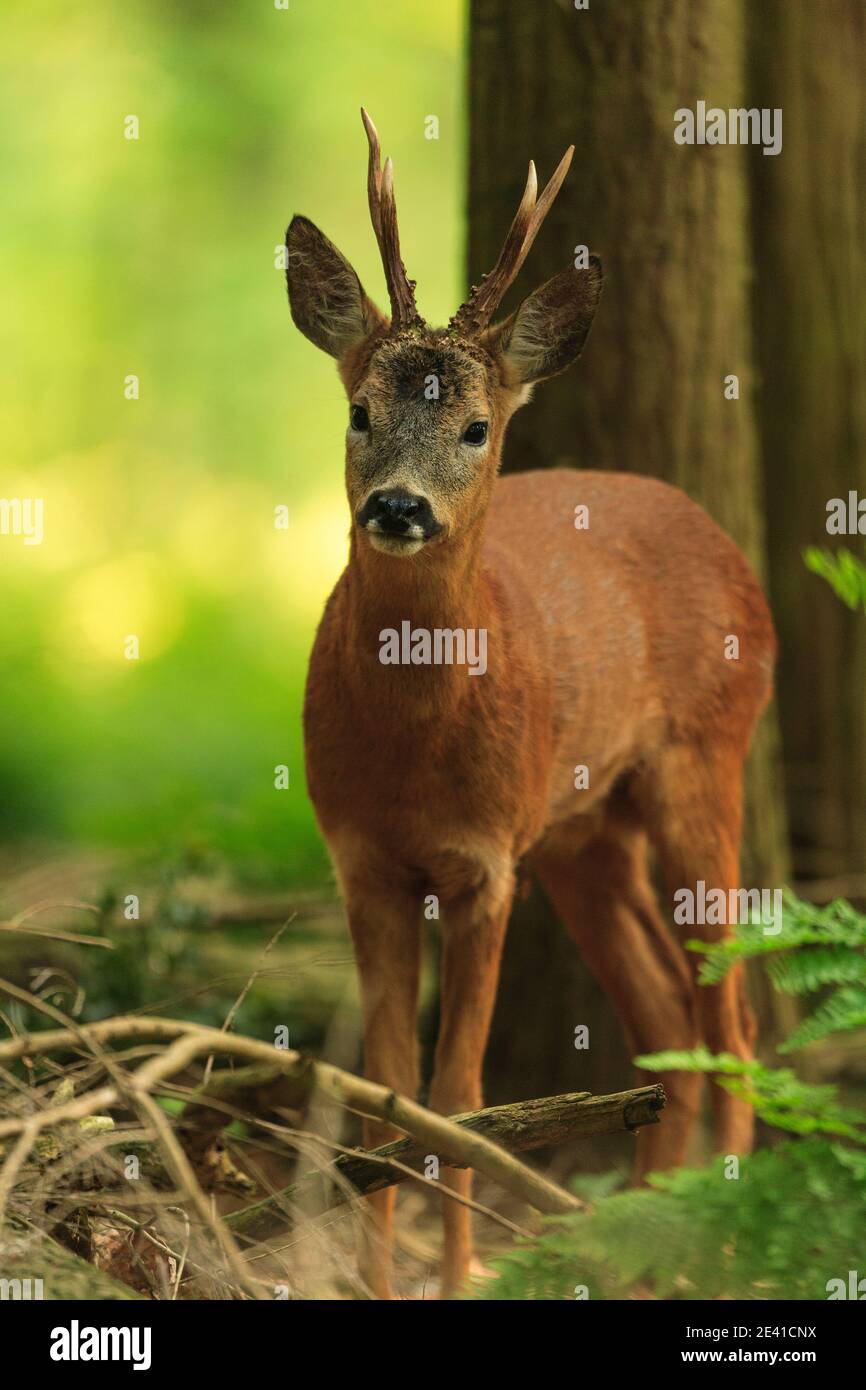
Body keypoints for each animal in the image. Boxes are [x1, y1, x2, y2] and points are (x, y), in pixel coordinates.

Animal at [285, 110, 776, 1300]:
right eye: (359, 410)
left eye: (473, 427)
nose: (398, 507)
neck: (412, 747)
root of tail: (722, 537)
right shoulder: (362, 857)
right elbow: (385, 1094)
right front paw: (381, 1282)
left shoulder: (483, 864)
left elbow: (462, 1099)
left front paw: (457, 1277)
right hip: (581, 830)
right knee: (661, 1013)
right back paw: (645, 1242)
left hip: (706, 760)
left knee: (730, 1016)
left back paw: (719, 1246)